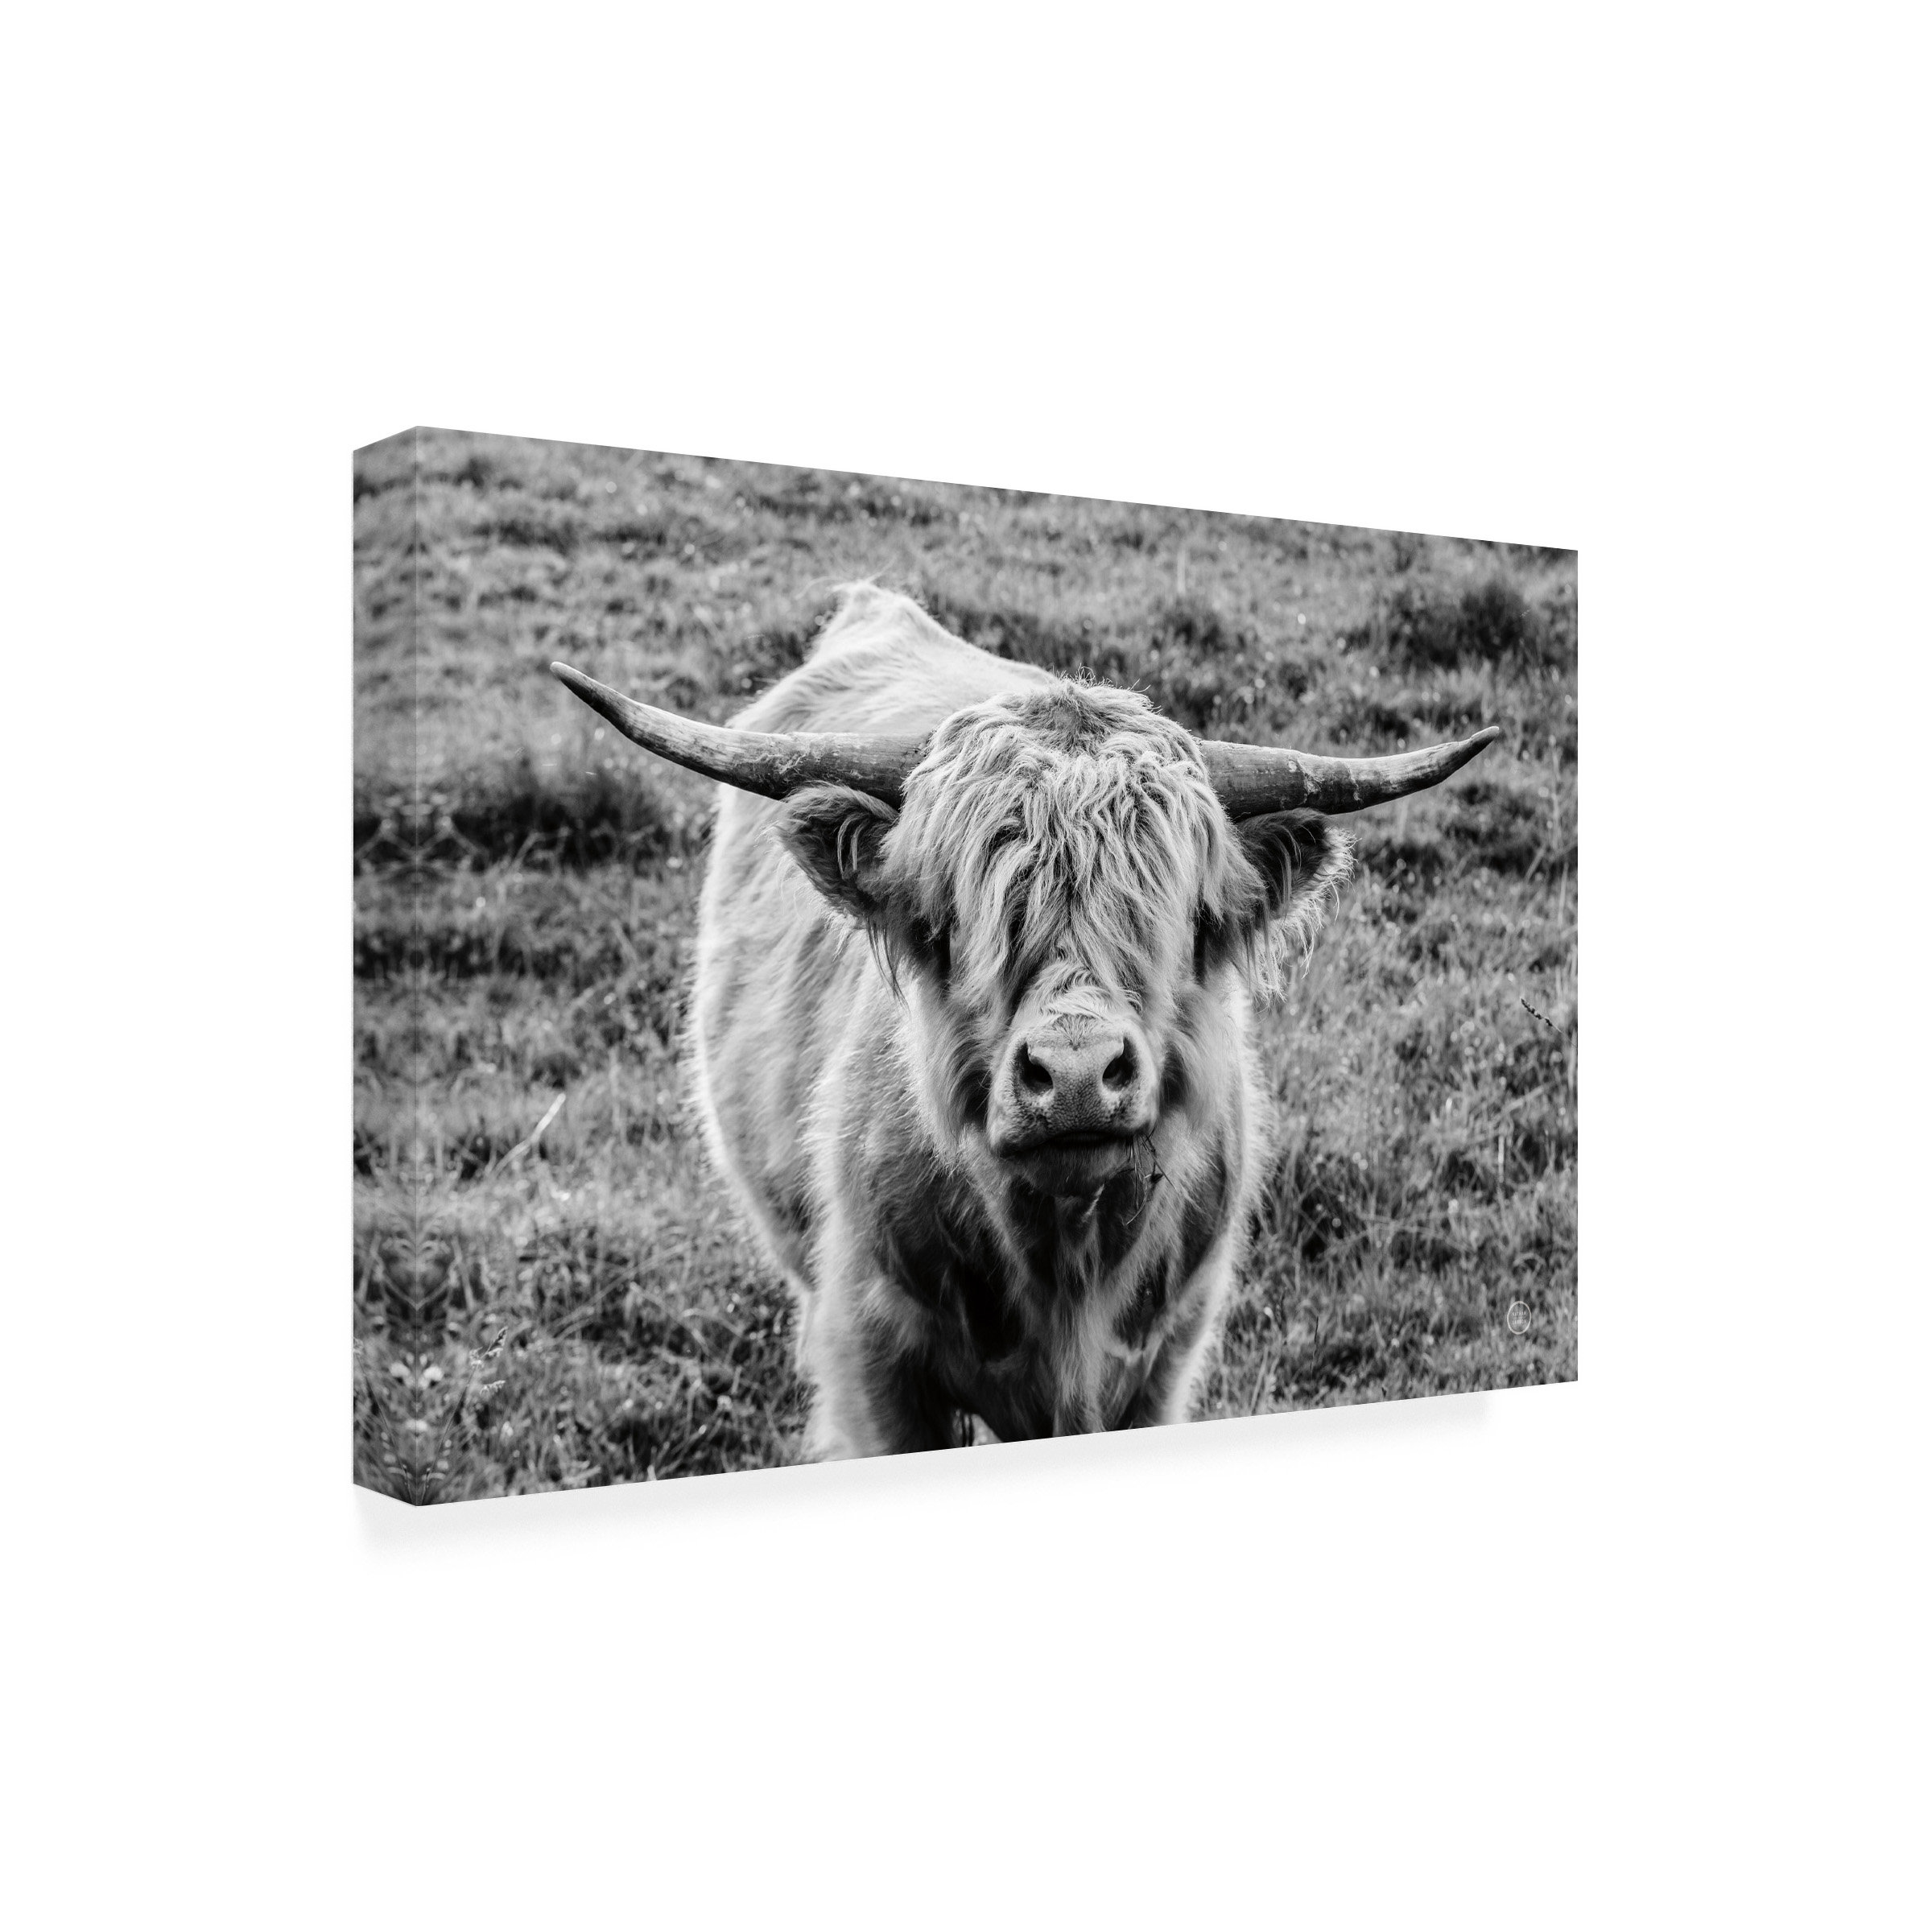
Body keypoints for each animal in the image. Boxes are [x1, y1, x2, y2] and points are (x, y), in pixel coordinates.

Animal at [553, 584, 1496, 1459]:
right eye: (954, 915)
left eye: (1178, 917)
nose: (1076, 1075)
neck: (1065, 1262)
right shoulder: (873, 1360)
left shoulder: (1167, 1354)